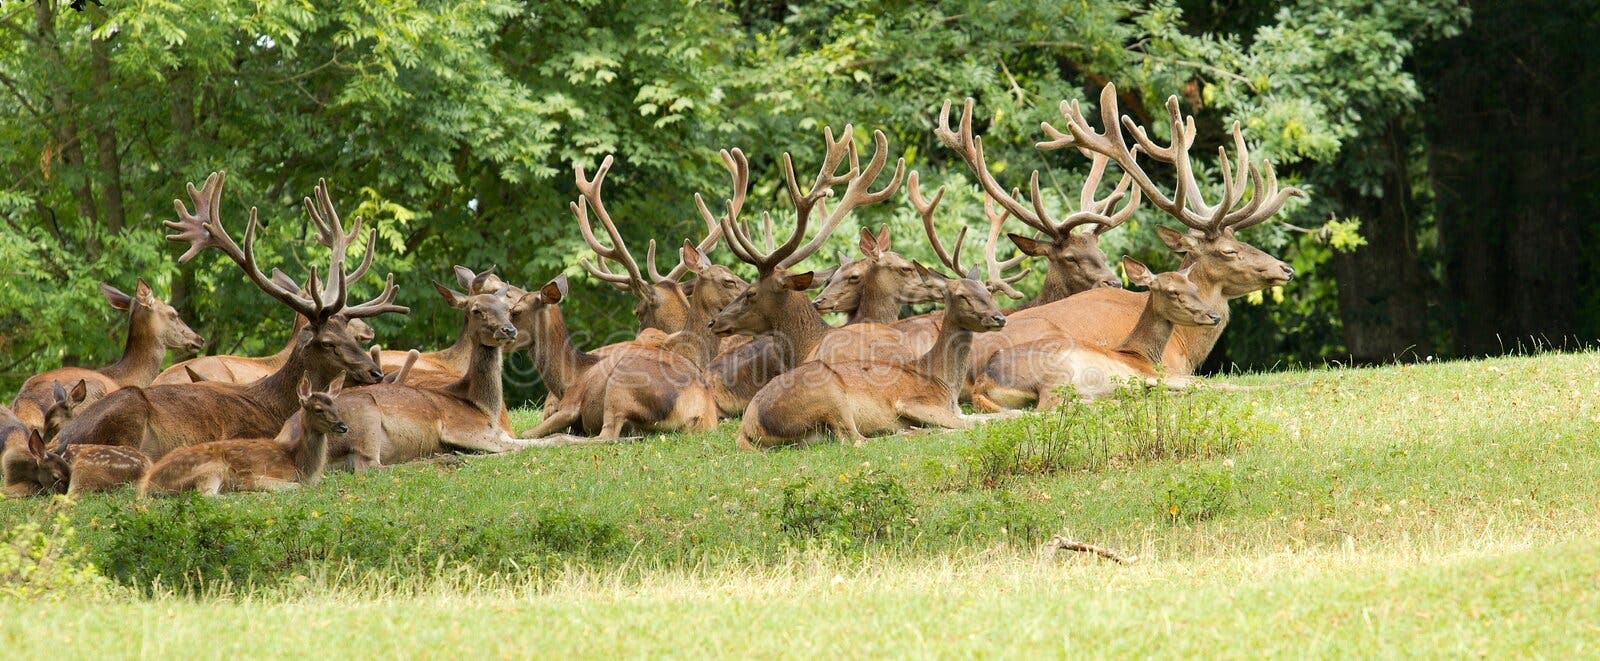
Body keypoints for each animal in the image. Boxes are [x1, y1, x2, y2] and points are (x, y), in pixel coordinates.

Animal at [52, 172, 407, 461]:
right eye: (329, 342)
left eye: (351, 336)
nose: (375, 372)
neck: (275, 405)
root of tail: (61, 441)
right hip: (129, 415)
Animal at [140, 379, 344, 496]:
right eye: (318, 409)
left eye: (335, 407)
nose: (343, 426)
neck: (299, 464)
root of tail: (148, 483)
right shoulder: (264, 474)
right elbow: (296, 487)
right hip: (211, 468)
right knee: (207, 495)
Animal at [736, 249, 1008, 449]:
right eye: (962, 295)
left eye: (988, 291)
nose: (999, 318)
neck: (942, 382)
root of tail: (748, 424)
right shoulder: (912, 402)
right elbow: (974, 425)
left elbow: (1000, 416)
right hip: (830, 395)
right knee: (856, 441)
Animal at [972, 257, 1223, 411]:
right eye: (1172, 292)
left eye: (1194, 288)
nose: (1214, 316)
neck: (1141, 355)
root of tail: (981, 383)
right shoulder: (1147, 374)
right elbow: (1205, 383)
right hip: (1056, 375)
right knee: (1048, 408)